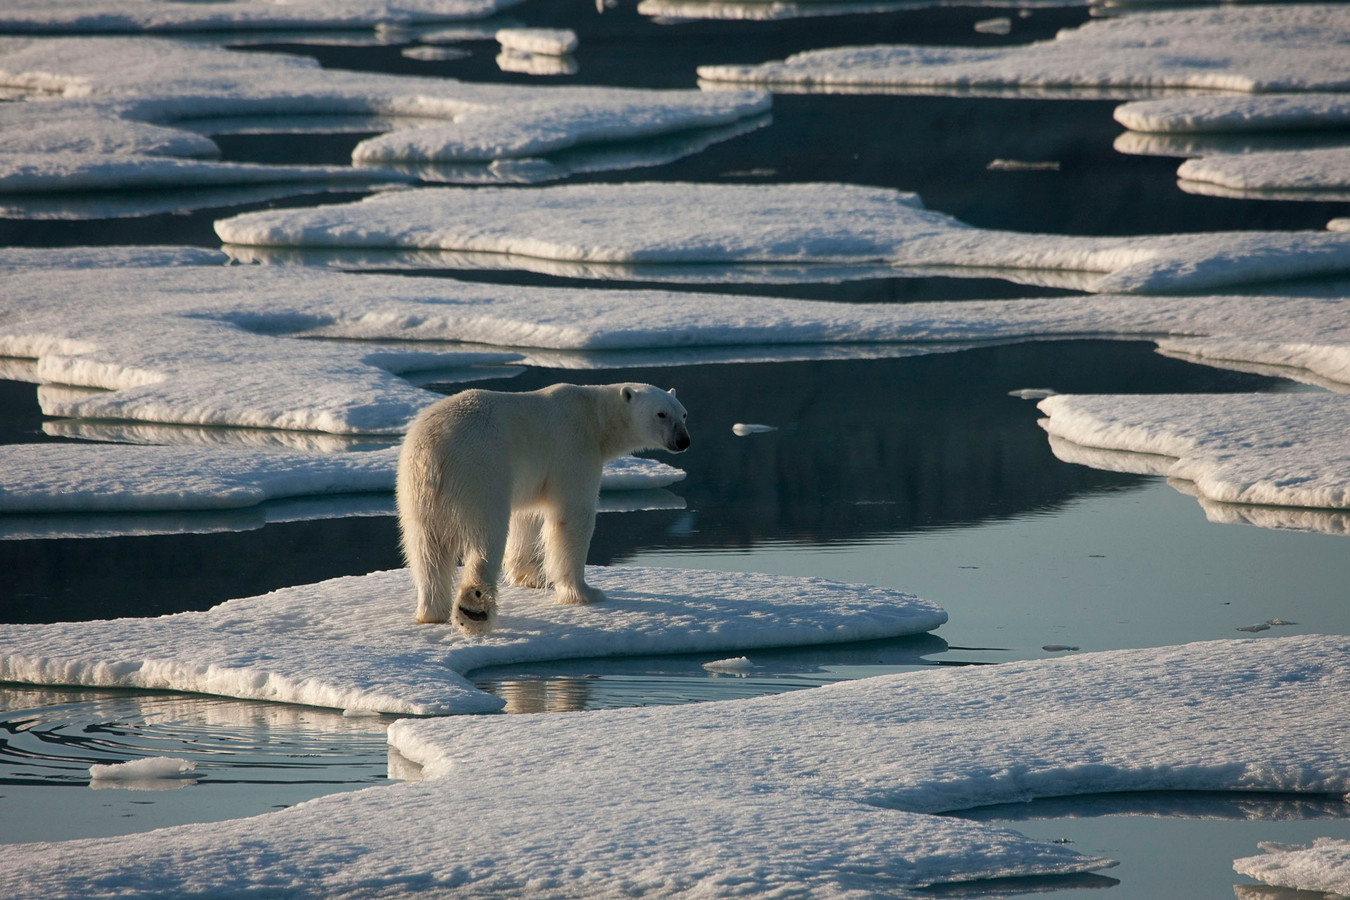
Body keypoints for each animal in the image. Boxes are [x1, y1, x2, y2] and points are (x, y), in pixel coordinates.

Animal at [391, 385, 685, 634]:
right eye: (661, 413)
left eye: (683, 413)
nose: (684, 440)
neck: (594, 415)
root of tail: (434, 452)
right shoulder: (573, 448)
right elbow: (572, 518)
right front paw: (585, 593)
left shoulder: (532, 475)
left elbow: (527, 516)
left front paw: (529, 578)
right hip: (478, 471)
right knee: (486, 536)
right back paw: (474, 610)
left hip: (414, 488)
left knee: (425, 547)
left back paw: (431, 611)